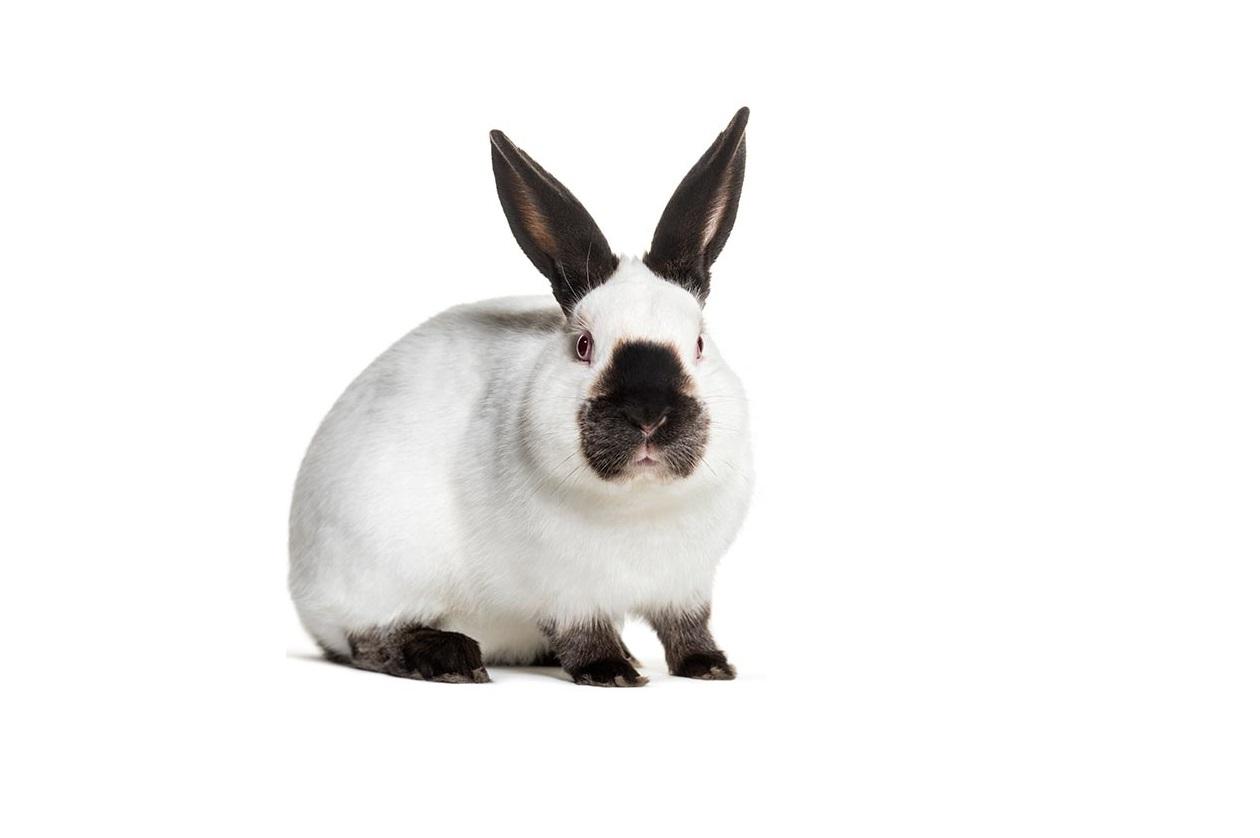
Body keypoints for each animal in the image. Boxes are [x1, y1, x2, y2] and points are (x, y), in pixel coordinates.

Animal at [289, 107, 754, 686]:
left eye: (699, 343)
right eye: (583, 345)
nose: (648, 415)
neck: (639, 503)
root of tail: (303, 587)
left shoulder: (686, 584)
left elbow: (687, 627)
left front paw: (708, 666)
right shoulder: (563, 588)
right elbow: (582, 631)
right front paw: (609, 671)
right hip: (375, 569)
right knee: (365, 641)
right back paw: (450, 658)